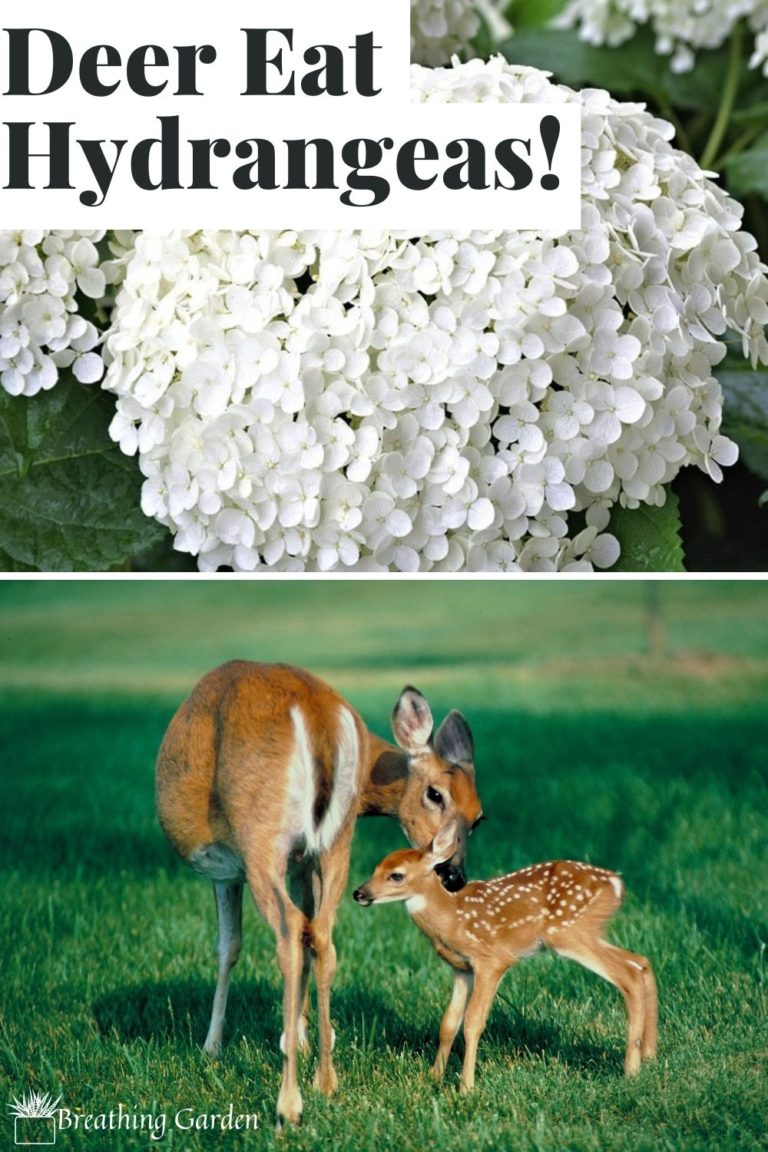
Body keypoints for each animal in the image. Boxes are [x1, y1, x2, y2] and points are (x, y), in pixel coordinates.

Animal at [155, 661, 483, 1127]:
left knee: (290, 932)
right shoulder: (305, 860)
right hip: (337, 839)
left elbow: (228, 948)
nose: (454, 875)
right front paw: (303, 1036)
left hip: (262, 834)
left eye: (477, 817)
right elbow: (307, 942)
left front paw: (213, 1047)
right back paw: (326, 1079)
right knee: (322, 934)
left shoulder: (228, 870)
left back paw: (289, 1102)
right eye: (435, 794)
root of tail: (317, 715)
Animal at [353, 821, 658, 1090]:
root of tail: (616, 884)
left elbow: (473, 1023)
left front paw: (466, 1086)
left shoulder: (492, 960)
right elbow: (448, 1023)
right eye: (376, 867)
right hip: (587, 932)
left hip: (569, 932)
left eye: (396, 875)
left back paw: (631, 1069)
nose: (359, 893)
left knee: (629, 973)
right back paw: (650, 1055)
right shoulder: (462, 968)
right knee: (641, 962)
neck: (452, 918)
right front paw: (433, 1077)